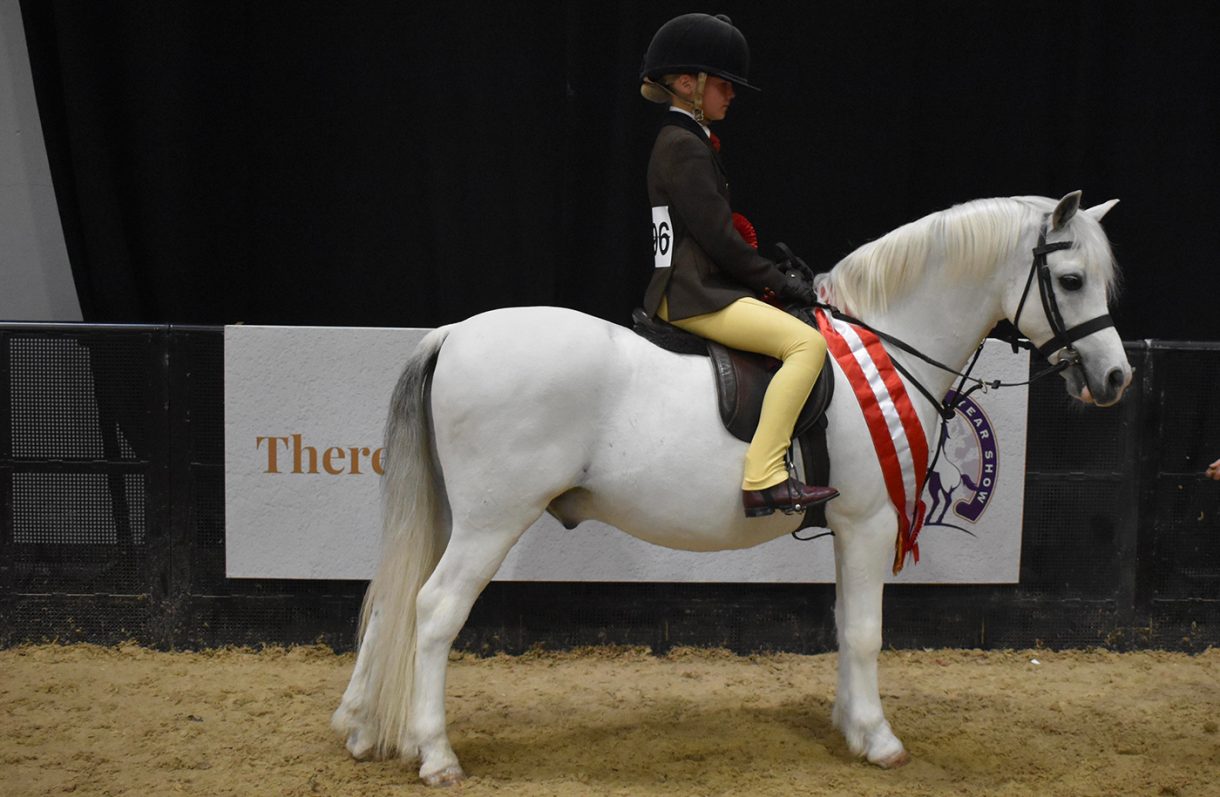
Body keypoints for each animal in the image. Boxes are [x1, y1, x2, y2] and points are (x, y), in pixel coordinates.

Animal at [332, 191, 1130, 785]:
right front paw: (878, 739)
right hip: (491, 522)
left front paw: (848, 725)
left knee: (395, 603)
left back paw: (361, 729)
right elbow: (866, 632)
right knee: (434, 609)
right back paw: (437, 755)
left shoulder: (849, 526)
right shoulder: (871, 520)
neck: (886, 338)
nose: (1117, 377)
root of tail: (455, 332)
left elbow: (844, 623)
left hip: (454, 515)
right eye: (1070, 280)